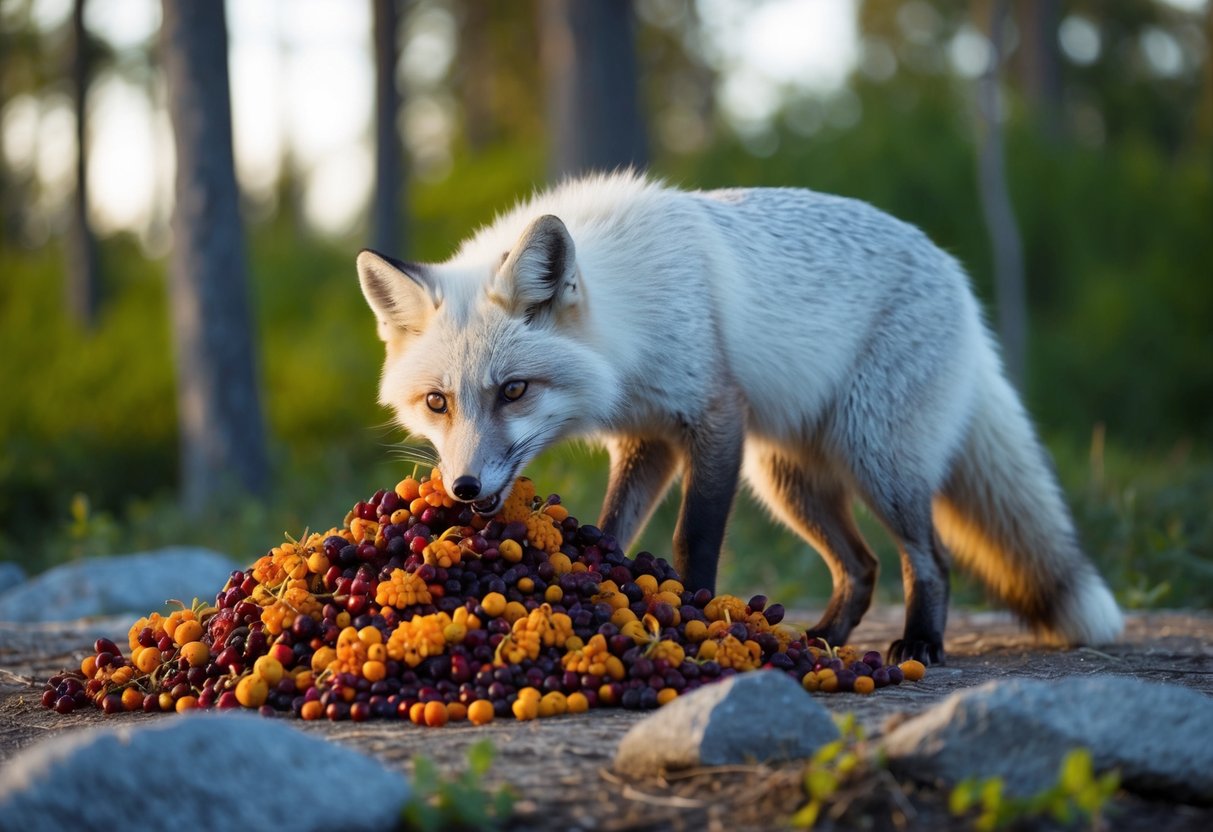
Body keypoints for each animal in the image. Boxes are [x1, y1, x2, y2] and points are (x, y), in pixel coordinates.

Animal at [355, 171, 1123, 664]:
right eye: (437, 403)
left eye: (513, 390)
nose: (465, 491)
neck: (633, 313)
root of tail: (956, 276)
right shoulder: (648, 438)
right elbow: (612, 530)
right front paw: (600, 584)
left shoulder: (713, 417)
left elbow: (694, 540)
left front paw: (693, 619)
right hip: (788, 480)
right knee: (863, 567)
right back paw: (825, 639)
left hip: (875, 459)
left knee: (927, 558)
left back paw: (922, 642)